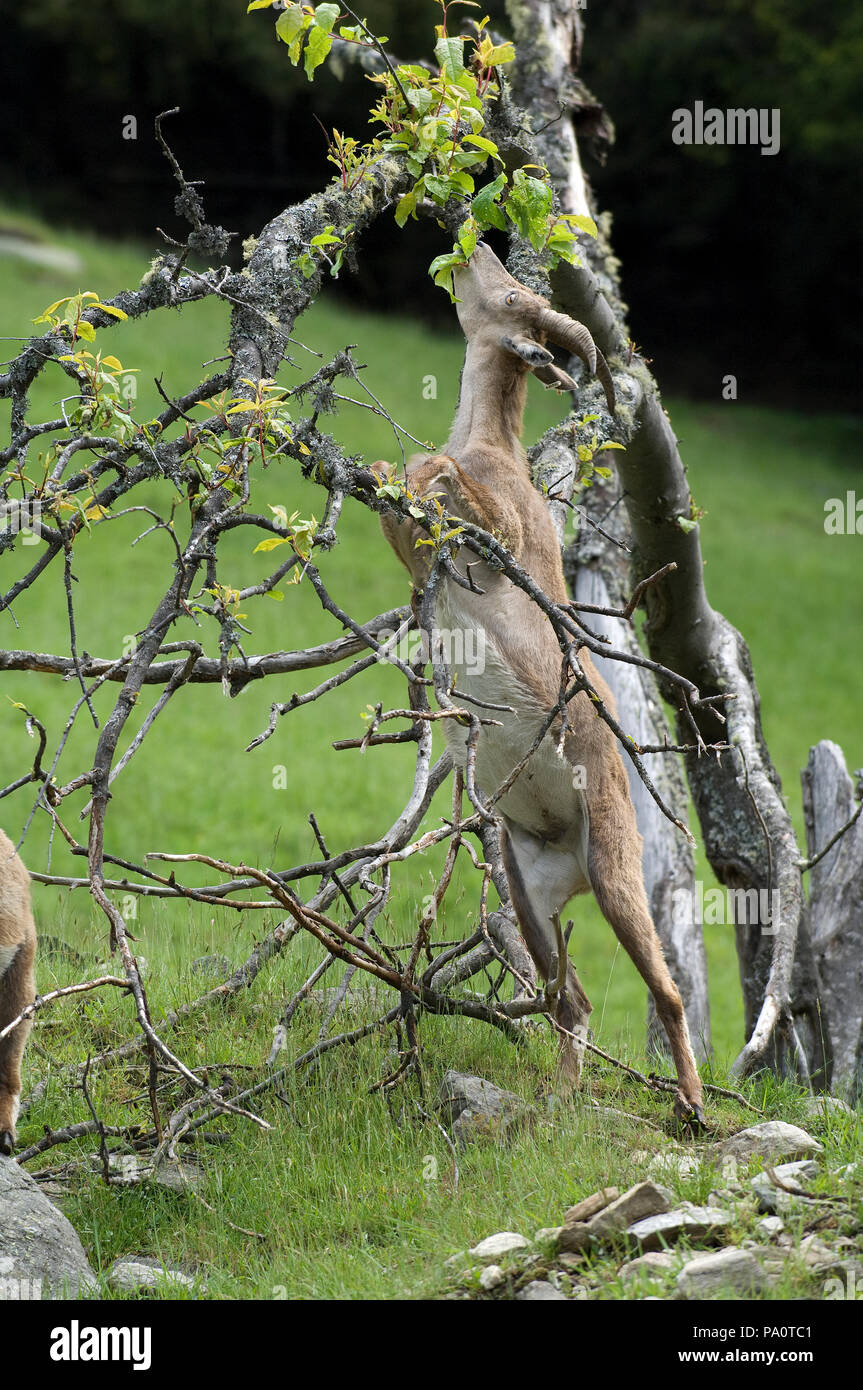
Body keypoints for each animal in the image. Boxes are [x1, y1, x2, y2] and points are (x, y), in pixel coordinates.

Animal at [379, 242, 705, 1124]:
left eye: (515, 297)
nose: (478, 248)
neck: (485, 444)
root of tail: (573, 862)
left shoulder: (502, 532)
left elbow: (448, 483)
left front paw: (426, 468)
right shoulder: (420, 563)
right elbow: (402, 492)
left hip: (617, 870)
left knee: (664, 992)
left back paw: (691, 1106)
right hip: (523, 893)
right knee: (570, 1000)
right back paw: (558, 1098)